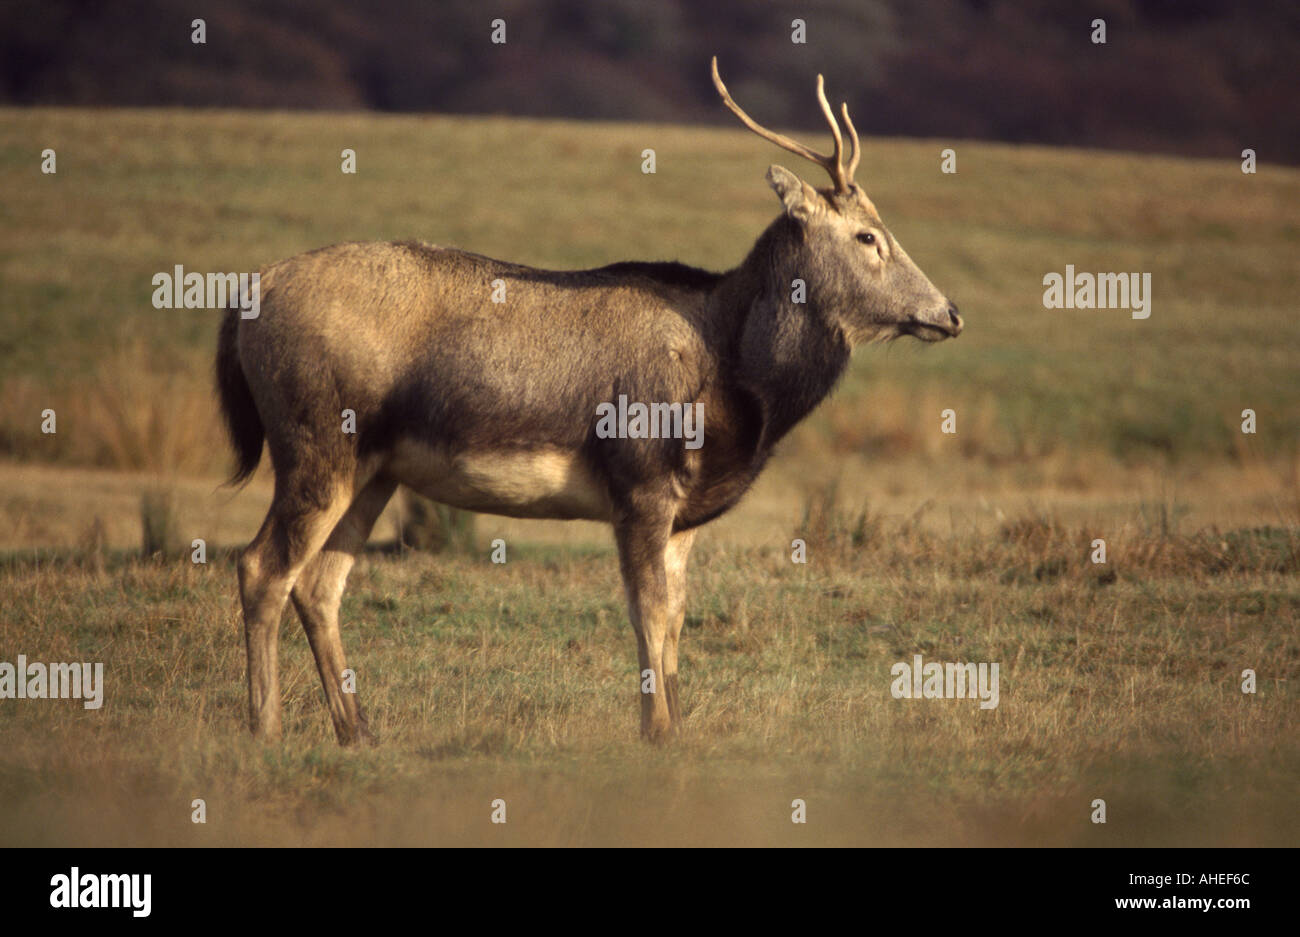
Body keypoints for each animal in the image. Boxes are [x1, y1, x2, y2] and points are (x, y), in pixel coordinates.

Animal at [216, 57, 962, 746]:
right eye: (868, 236)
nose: (949, 313)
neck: (735, 386)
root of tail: (252, 292)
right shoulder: (640, 479)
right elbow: (647, 613)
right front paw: (655, 733)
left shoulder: (684, 515)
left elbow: (677, 619)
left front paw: (676, 730)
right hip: (315, 442)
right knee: (261, 567)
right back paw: (266, 730)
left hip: (373, 469)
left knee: (319, 583)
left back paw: (359, 732)